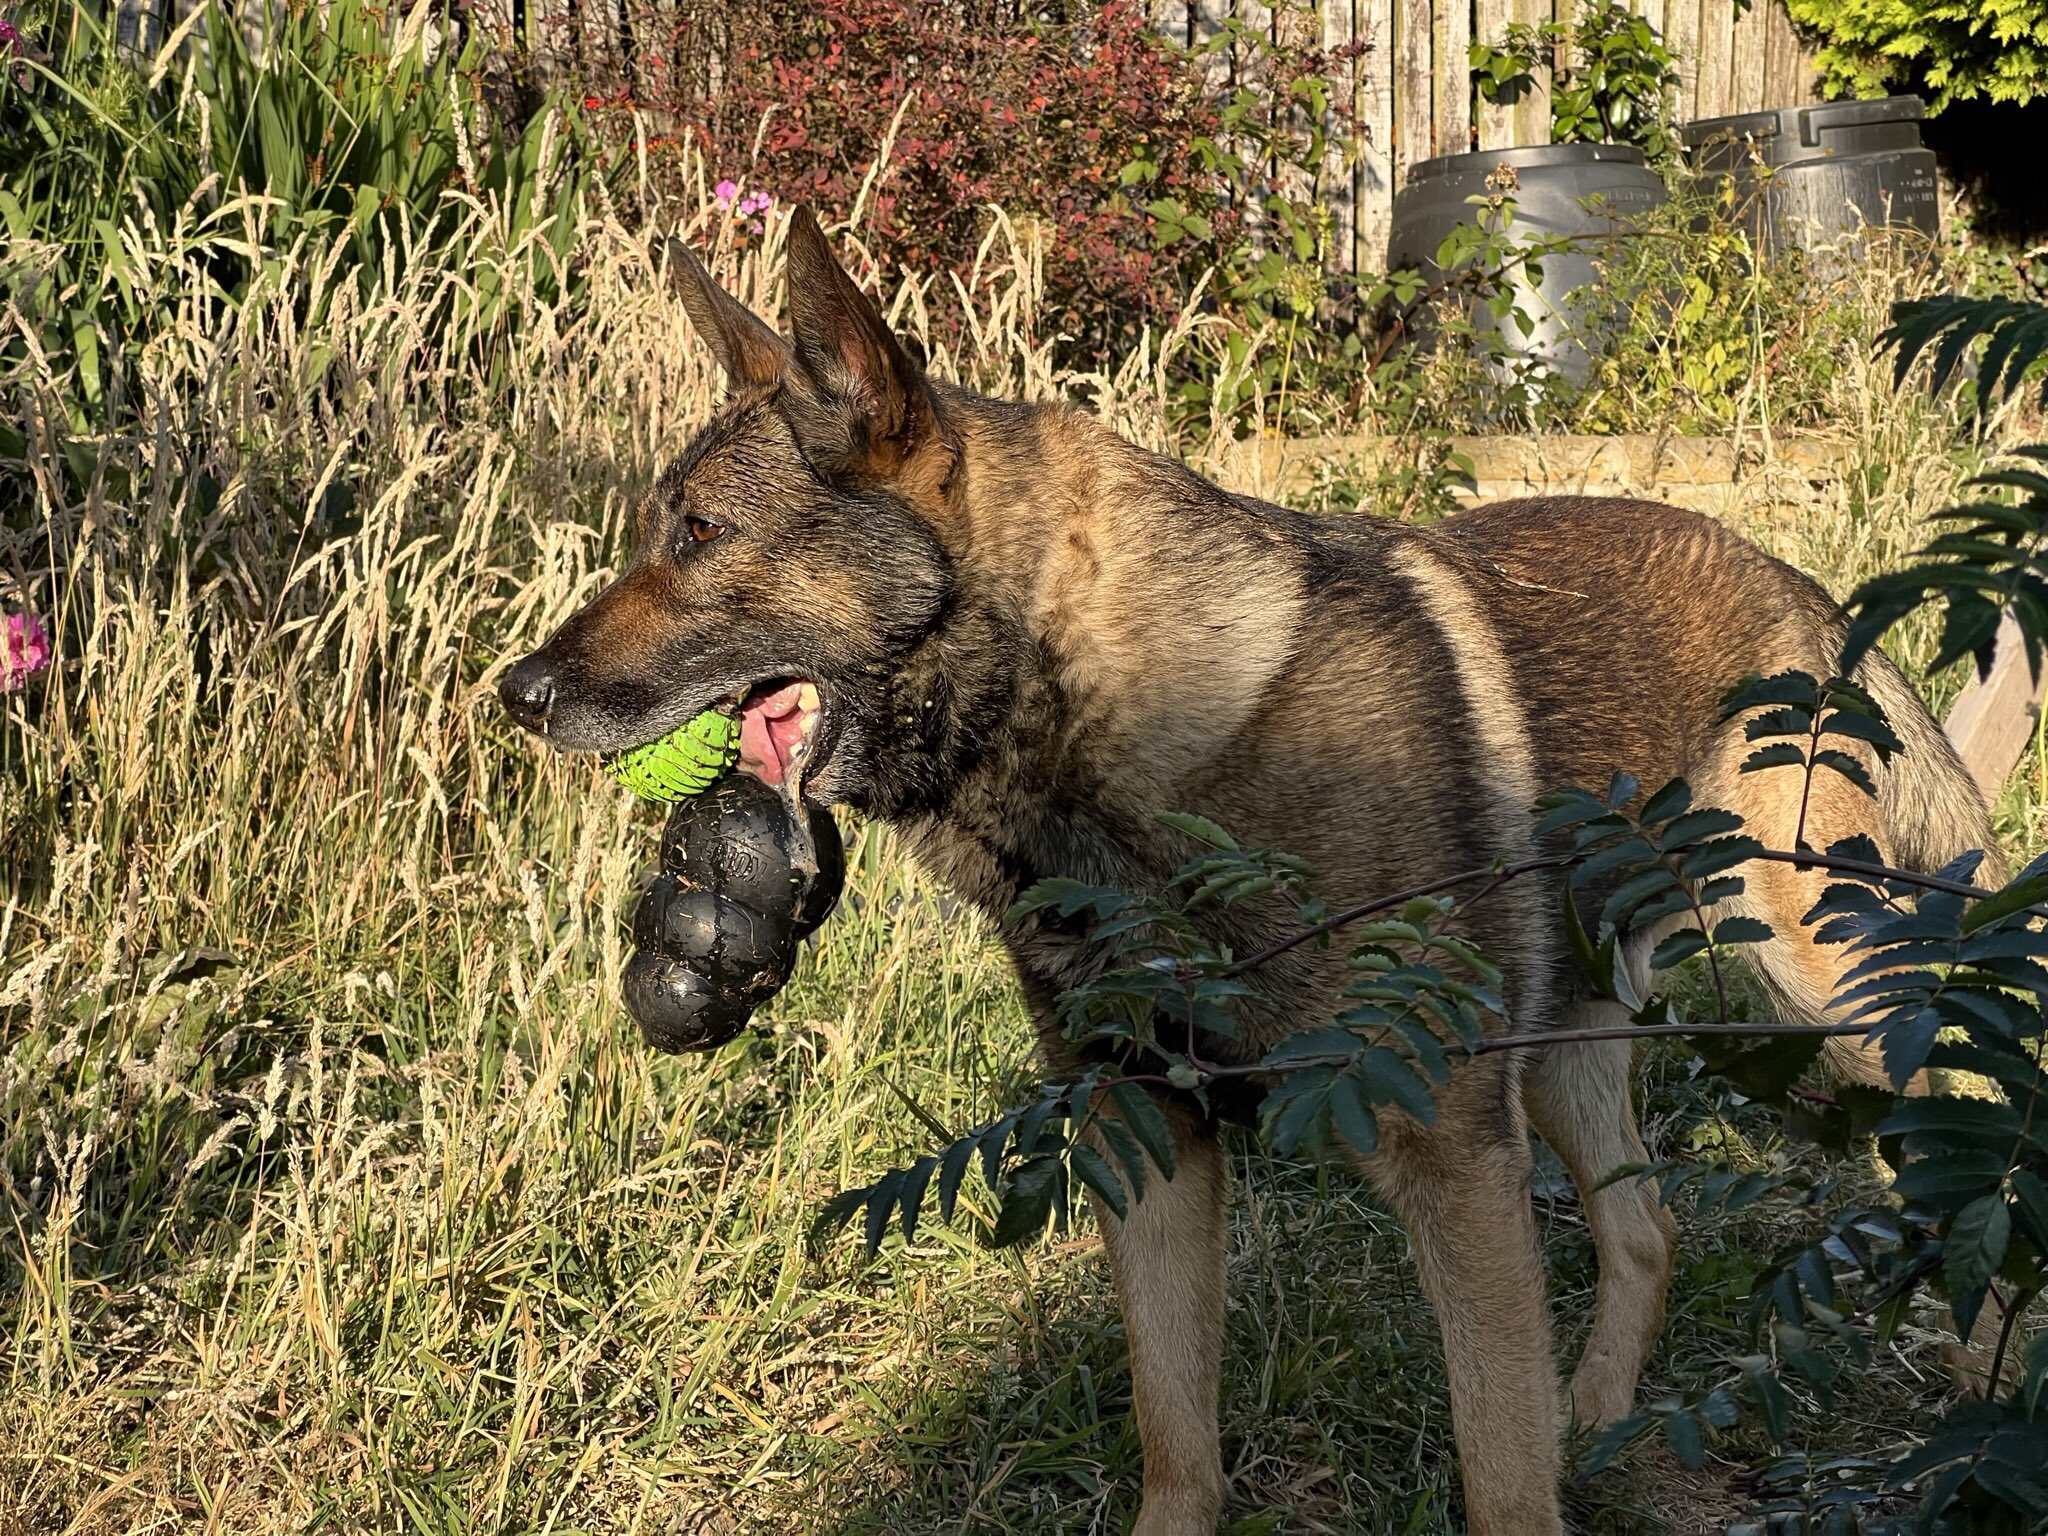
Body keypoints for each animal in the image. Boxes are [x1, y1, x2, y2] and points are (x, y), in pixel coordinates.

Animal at [497, 207, 1994, 1533]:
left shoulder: (1449, 1154)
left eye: (699, 534)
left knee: (1959, 1128)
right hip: (1570, 1045)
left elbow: (1498, 1477)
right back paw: (1602, 1418)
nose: (516, 694)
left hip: (1816, 985)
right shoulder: (1145, 1133)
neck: (1095, 724)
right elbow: (1179, 1439)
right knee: (1645, 1234)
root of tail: (1793, 585)